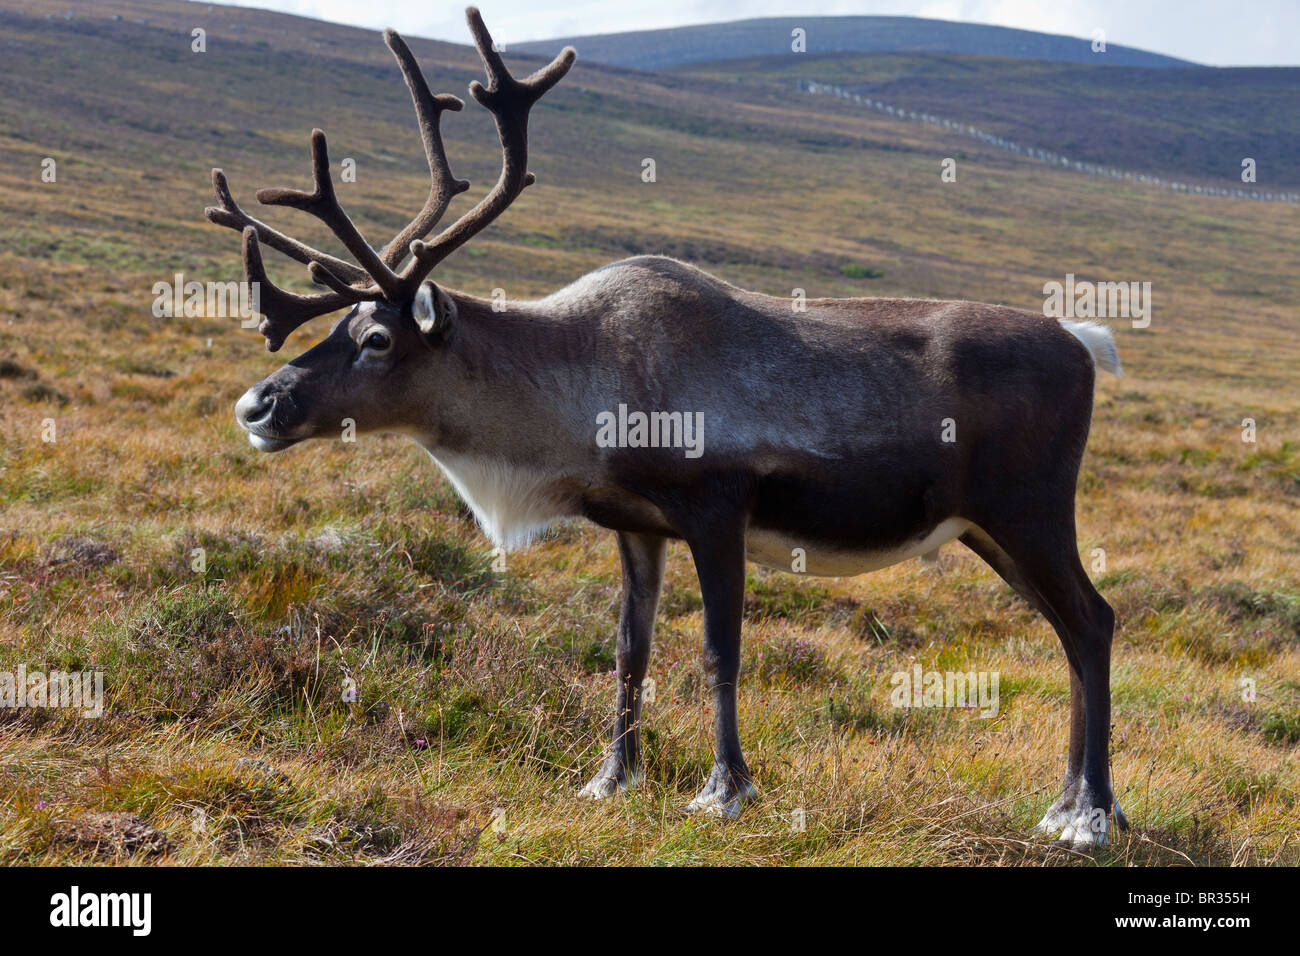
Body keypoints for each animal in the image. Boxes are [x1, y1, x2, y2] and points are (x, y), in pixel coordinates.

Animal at [208, 7, 1127, 846]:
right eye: (339, 325)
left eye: (377, 339)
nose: (256, 406)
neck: (585, 381)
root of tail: (1083, 341)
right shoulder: (636, 525)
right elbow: (629, 650)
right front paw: (610, 778)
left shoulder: (717, 510)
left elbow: (720, 651)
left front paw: (725, 790)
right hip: (986, 529)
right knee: (1069, 628)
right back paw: (1072, 805)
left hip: (1030, 510)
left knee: (1092, 619)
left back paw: (1090, 815)